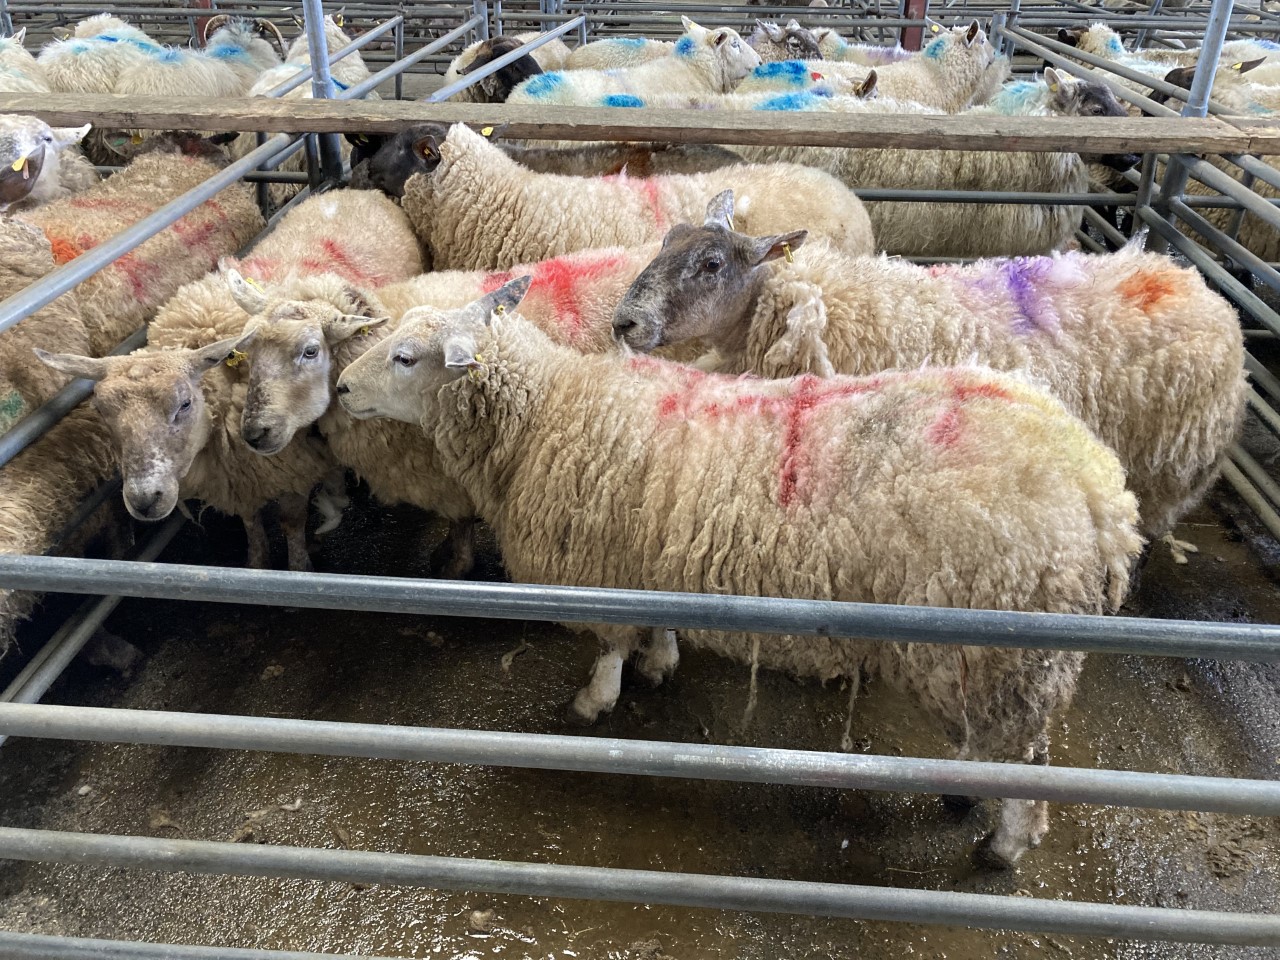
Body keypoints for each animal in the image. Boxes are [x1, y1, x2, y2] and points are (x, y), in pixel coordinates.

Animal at [34, 188, 423, 569]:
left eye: (184, 404)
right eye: (102, 413)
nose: (144, 500)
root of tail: (355, 189)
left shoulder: (293, 467)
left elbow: (291, 521)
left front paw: (300, 564)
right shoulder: (241, 477)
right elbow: (251, 522)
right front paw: (256, 561)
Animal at [336, 276, 1143, 868]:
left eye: (407, 357)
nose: (341, 388)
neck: (546, 414)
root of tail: (1101, 490)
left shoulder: (602, 564)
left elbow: (608, 647)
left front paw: (595, 702)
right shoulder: (652, 558)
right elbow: (655, 626)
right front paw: (660, 663)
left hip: (1009, 645)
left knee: (1028, 762)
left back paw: (1002, 843)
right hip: (988, 653)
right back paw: (965, 793)